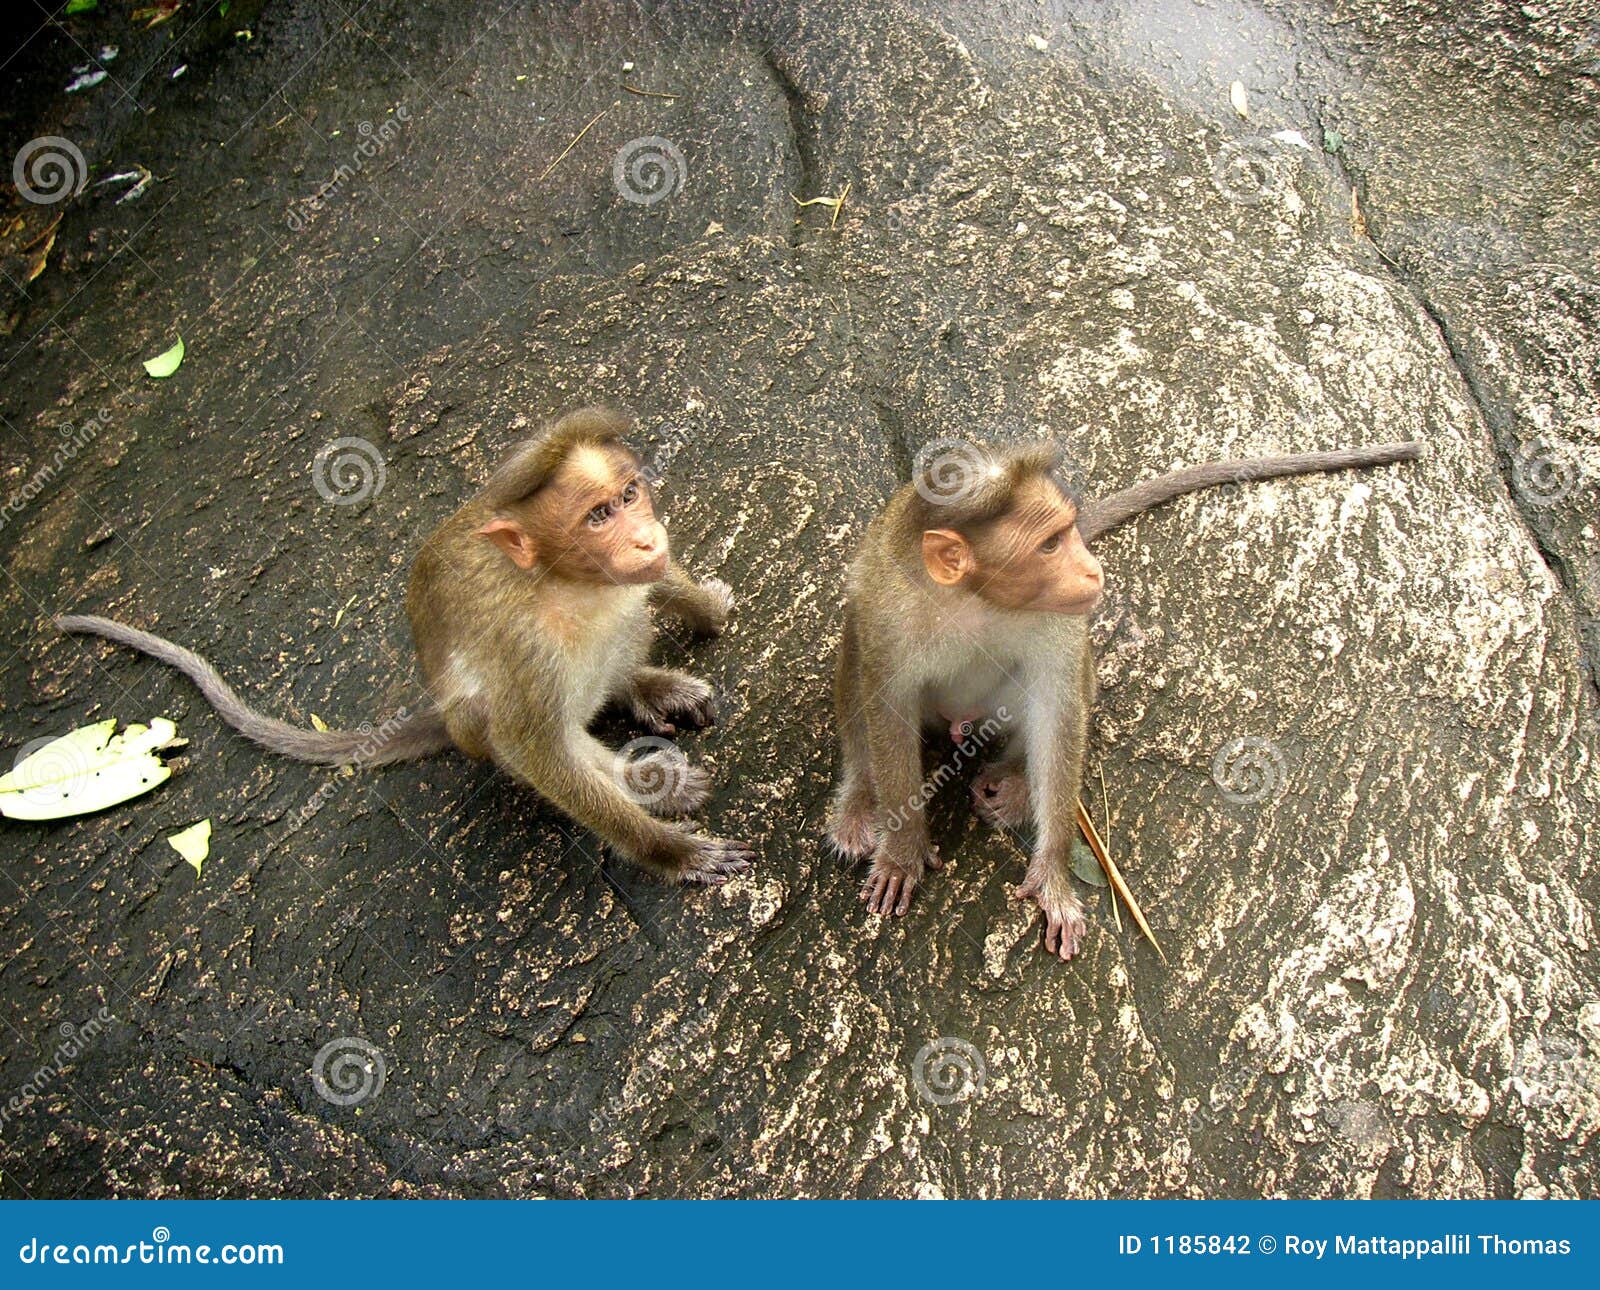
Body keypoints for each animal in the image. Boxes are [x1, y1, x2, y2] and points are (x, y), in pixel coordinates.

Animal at [57, 406, 754, 887]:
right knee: (516, 734)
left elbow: (658, 586)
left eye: (630, 495)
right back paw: (646, 774)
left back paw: (641, 686)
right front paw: (673, 851)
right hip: (474, 724)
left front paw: (706, 608)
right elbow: (537, 754)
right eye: (598, 516)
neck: (566, 582)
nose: (644, 537)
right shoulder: (522, 646)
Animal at [828, 438, 1422, 959]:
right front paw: (902, 851)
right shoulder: (890, 613)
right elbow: (886, 702)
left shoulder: (1057, 620)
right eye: (1049, 545)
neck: (977, 601)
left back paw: (1016, 782)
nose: (1093, 568)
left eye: (1068, 533)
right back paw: (860, 799)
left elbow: (1059, 706)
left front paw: (1052, 875)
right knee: (855, 651)